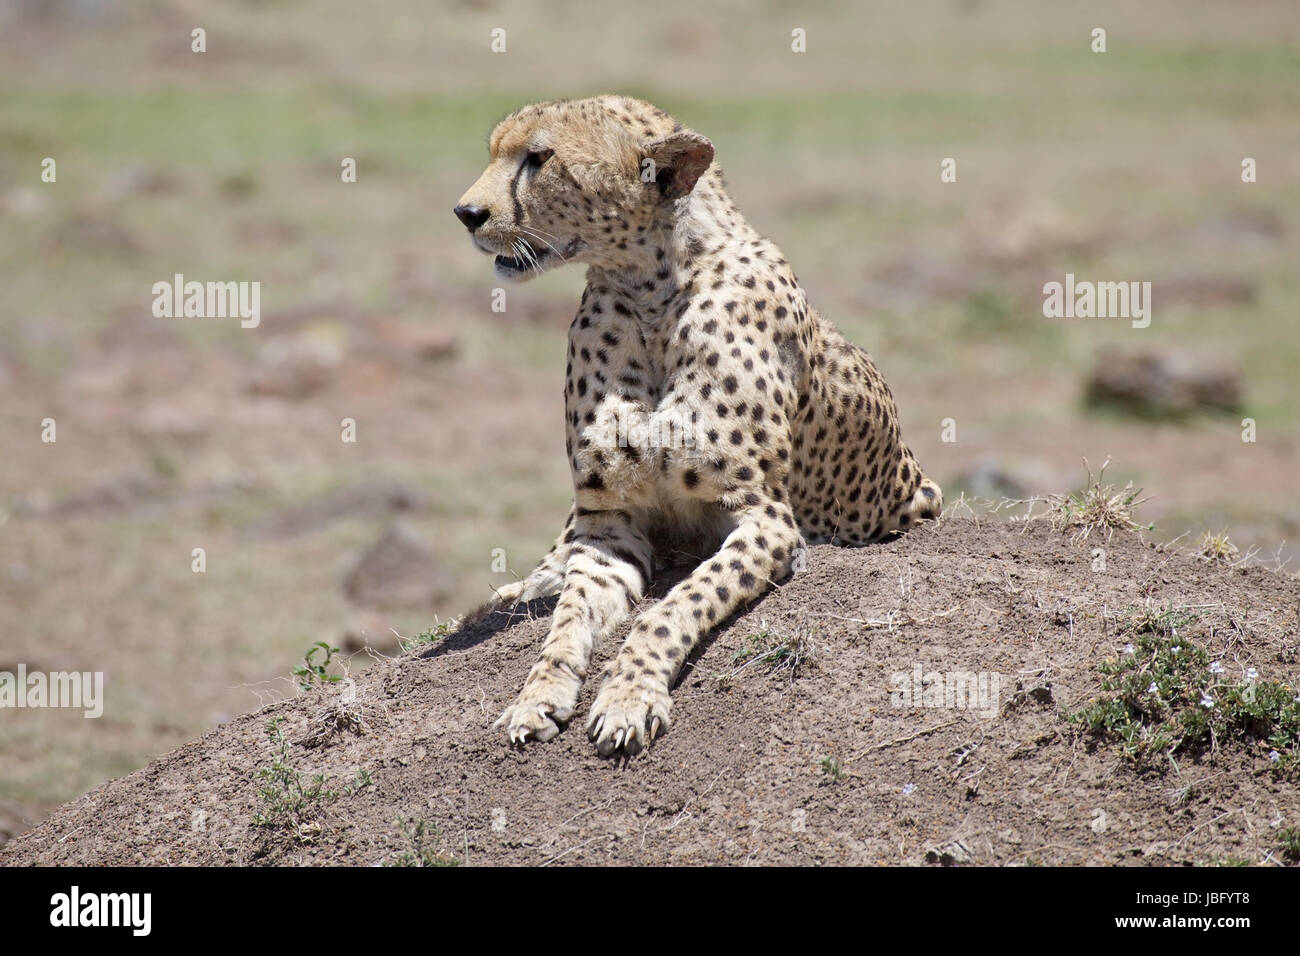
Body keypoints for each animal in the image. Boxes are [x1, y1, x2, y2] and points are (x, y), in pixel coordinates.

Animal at [453, 95, 942, 757]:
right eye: (496, 150)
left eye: (539, 156)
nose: (466, 213)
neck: (653, 288)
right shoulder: (606, 525)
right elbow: (567, 620)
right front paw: (538, 695)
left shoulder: (765, 518)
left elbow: (674, 606)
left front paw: (628, 696)